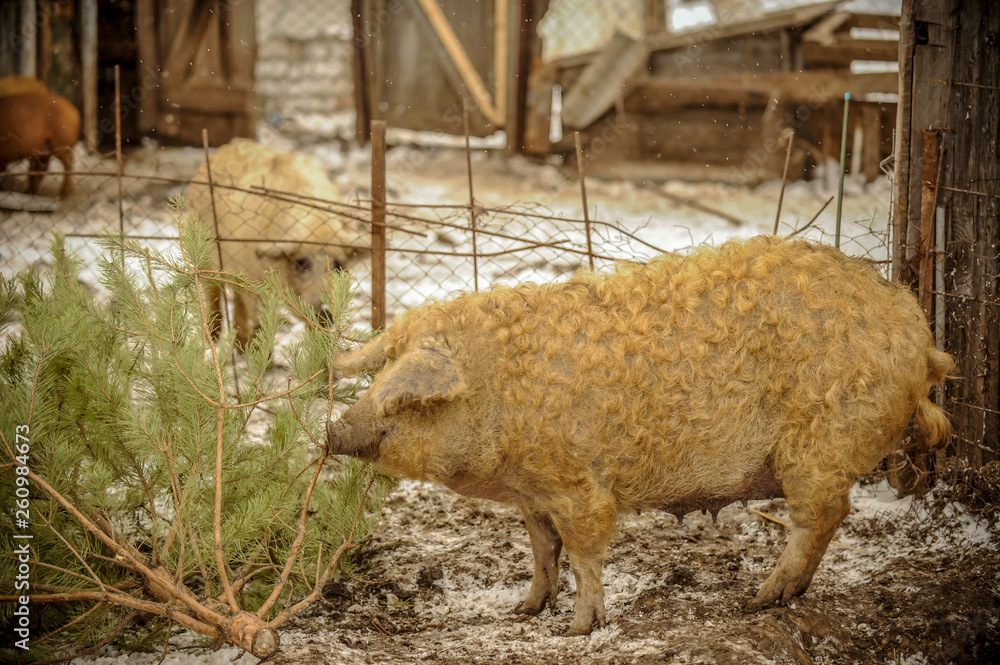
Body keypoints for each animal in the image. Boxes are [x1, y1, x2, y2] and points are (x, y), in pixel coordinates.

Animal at [185, 139, 363, 348]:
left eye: (338, 266)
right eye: (302, 263)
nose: (327, 309)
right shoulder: (255, 283)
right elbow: (260, 325)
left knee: (236, 295)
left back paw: (238, 345)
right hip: (204, 248)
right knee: (212, 290)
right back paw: (212, 341)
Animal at [326, 236, 953, 636]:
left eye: (408, 401)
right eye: (380, 371)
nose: (333, 429)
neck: (503, 393)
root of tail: (919, 335)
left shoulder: (580, 488)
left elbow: (585, 555)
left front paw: (576, 631)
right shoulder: (535, 497)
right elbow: (543, 552)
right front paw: (524, 612)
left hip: (819, 449)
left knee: (820, 517)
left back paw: (760, 600)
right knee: (827, 520)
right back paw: (783, 597)